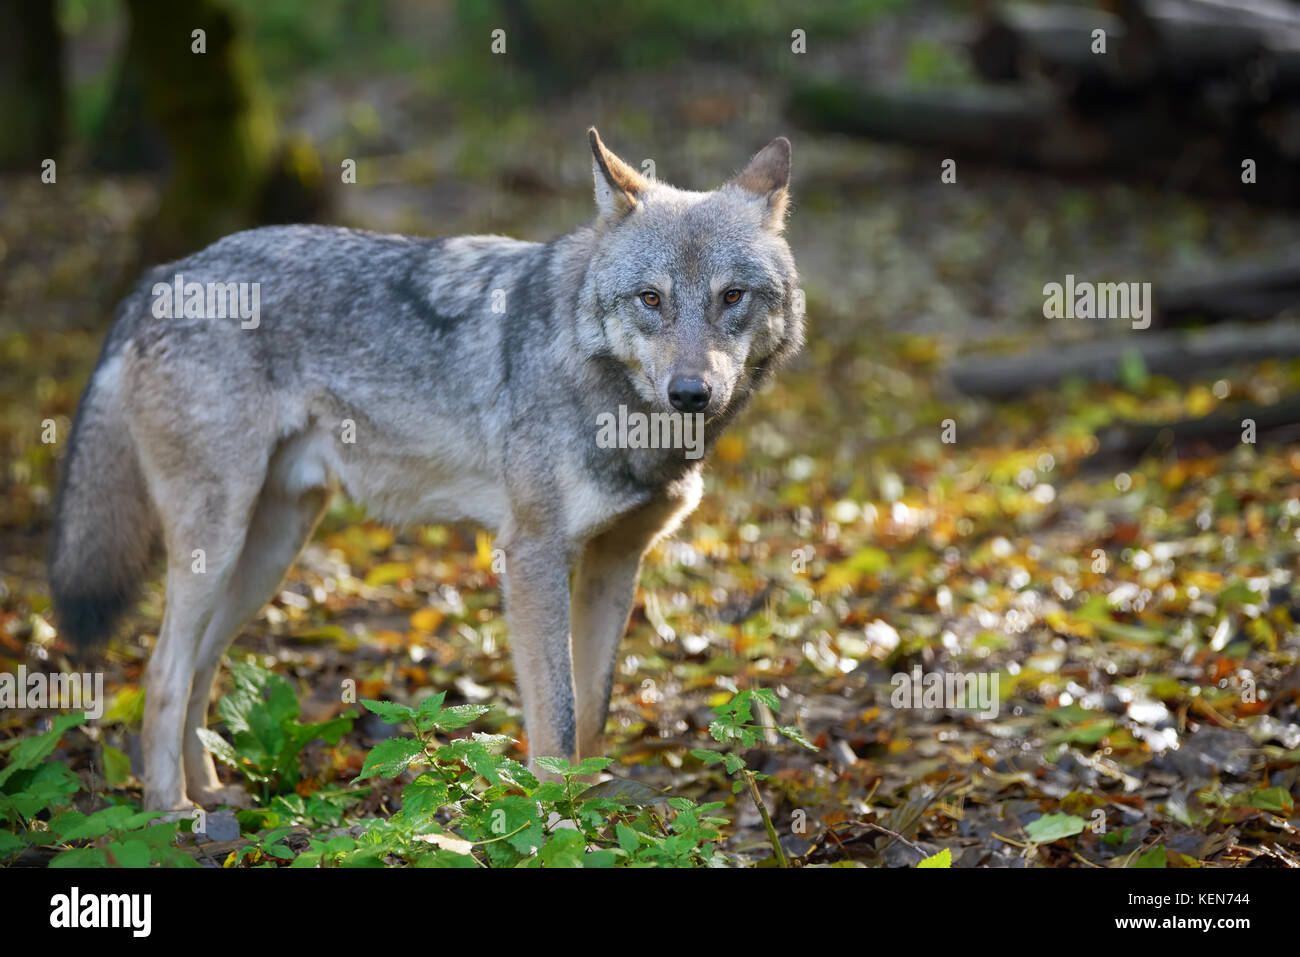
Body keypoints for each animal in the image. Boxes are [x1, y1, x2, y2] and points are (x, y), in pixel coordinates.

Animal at [49, 129, 805, 811]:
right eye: (651, 299)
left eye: (731, 297)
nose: (691, 392)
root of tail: (157, 280)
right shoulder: (531, 556)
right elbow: (556, 720)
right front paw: (554, 818)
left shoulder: (615, 562)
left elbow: (593, 712)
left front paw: (588, 811)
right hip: (219, 543)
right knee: (160, 672)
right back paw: (171, 811)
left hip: (266, 551)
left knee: (201, 667)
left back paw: (211, 792)